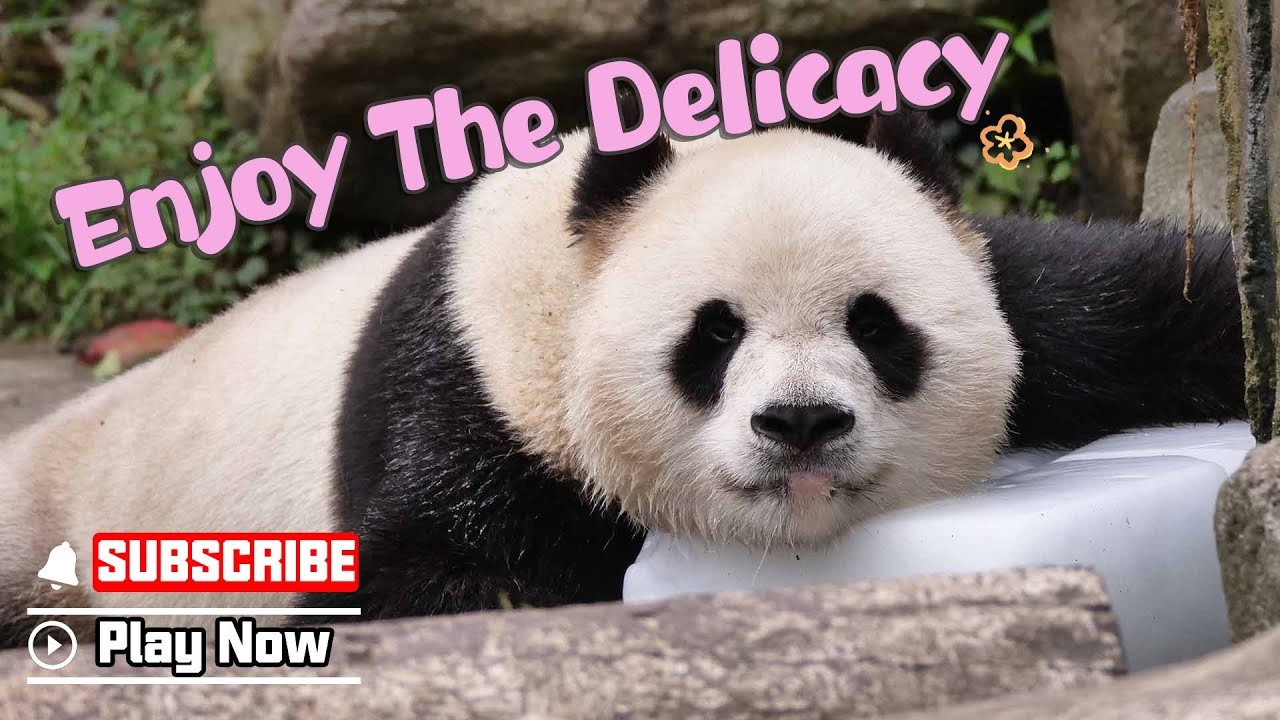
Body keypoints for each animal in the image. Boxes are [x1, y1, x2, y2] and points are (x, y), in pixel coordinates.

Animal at [0, 111, 1243, 645]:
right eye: (711, 335)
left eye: (878, 327)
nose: (800, 424)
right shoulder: (468, 392)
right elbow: (434, 578)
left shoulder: (1010, 291)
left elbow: (1140, 303)